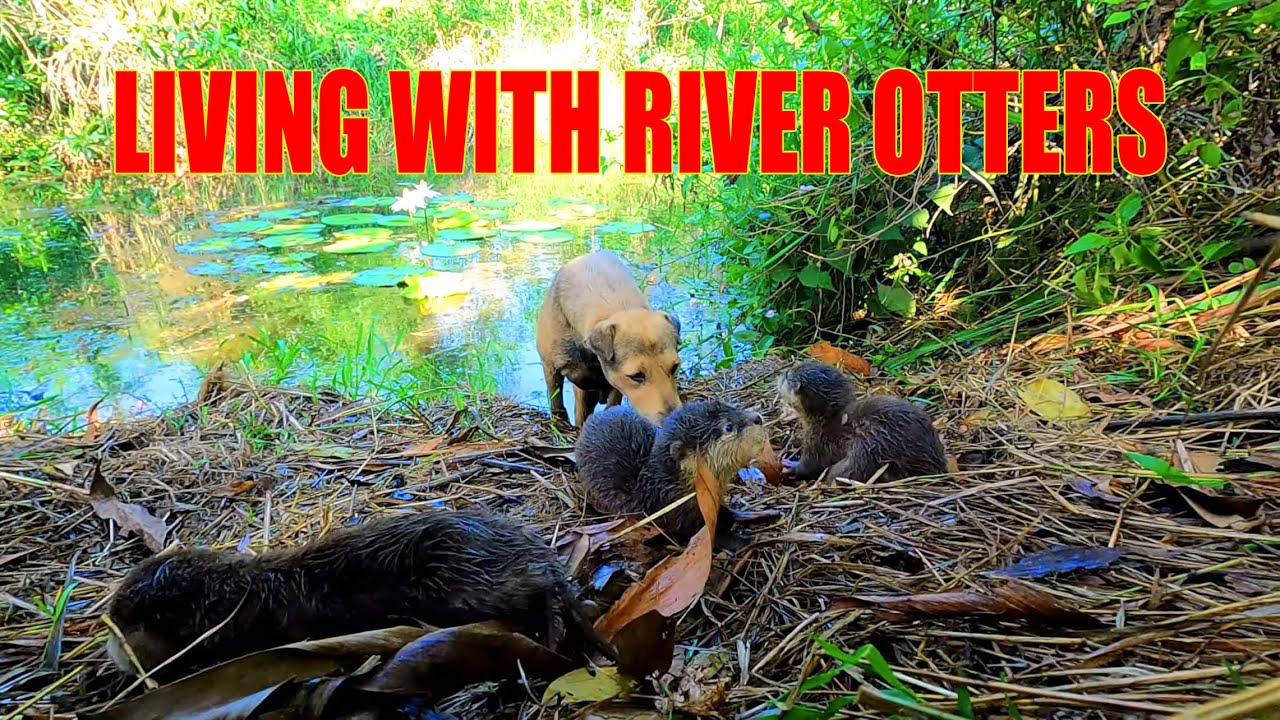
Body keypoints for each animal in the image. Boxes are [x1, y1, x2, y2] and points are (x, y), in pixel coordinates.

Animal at [105, 509, 616, 679]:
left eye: (137, 618)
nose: (114, 652)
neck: (260, 590)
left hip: (461, 584)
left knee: (543, 587)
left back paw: (557, 629)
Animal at [574, 399, 772, 542]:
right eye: (728, 427)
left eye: (731, 406)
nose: (757, 418)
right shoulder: (677, 514)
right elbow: (700, 532)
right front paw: (738, 541)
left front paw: (760, 513)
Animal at [776, 361, 948, 483]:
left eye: (787, 375)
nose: (781, 373)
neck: (824, 419)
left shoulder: (819, 442)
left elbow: (811, 465)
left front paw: (791, 466)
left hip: (867, 449)